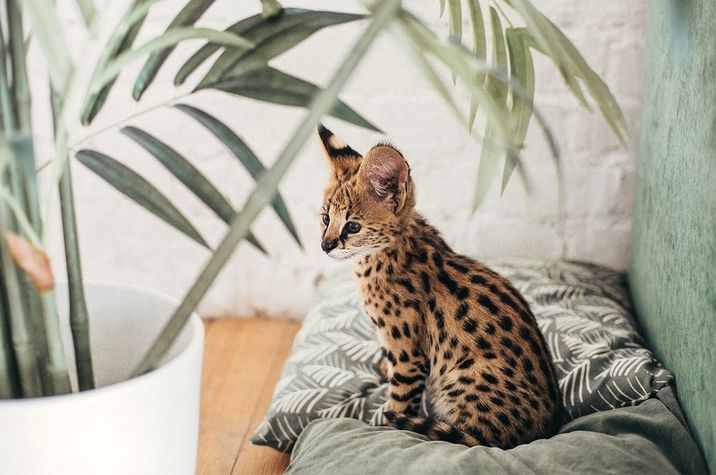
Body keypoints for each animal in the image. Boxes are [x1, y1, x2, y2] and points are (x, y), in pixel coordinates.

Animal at [318, 124, 560, 448]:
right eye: (325, 218)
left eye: (352, 227)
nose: (325, 245)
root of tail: (549, 429)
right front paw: (383, 370)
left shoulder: (409, 353)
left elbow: (400, 400)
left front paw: (386, 425)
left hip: (464, 376)